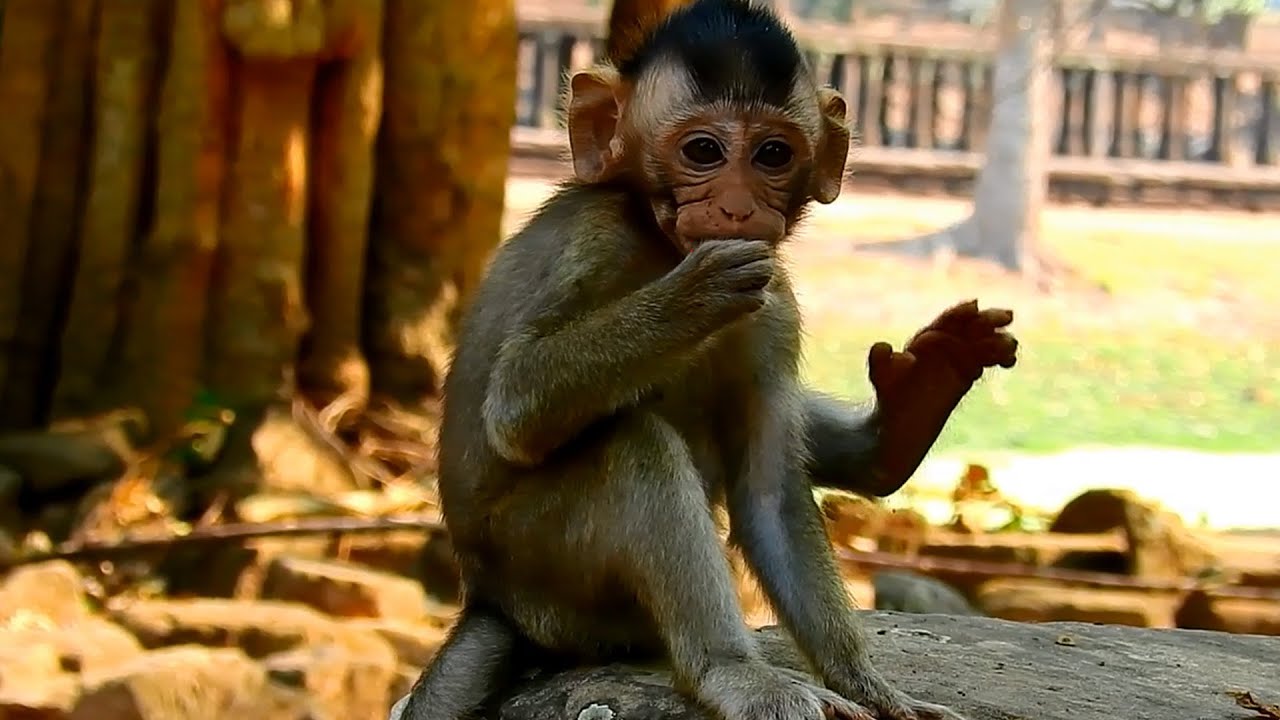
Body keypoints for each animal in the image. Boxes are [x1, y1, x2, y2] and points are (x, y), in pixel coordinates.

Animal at [393, 1, 1017, 719]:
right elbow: (516, 406)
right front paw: (692, 295)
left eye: (773, 154)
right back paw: (730, 671)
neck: (657, 237)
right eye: (702, 151)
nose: (738, 208)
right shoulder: (595, 241)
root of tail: (490, 601)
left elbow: (769, 495)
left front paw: (866, 682)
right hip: (547, 579)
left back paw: (906, 421)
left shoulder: (775, 308)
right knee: (632, 446)